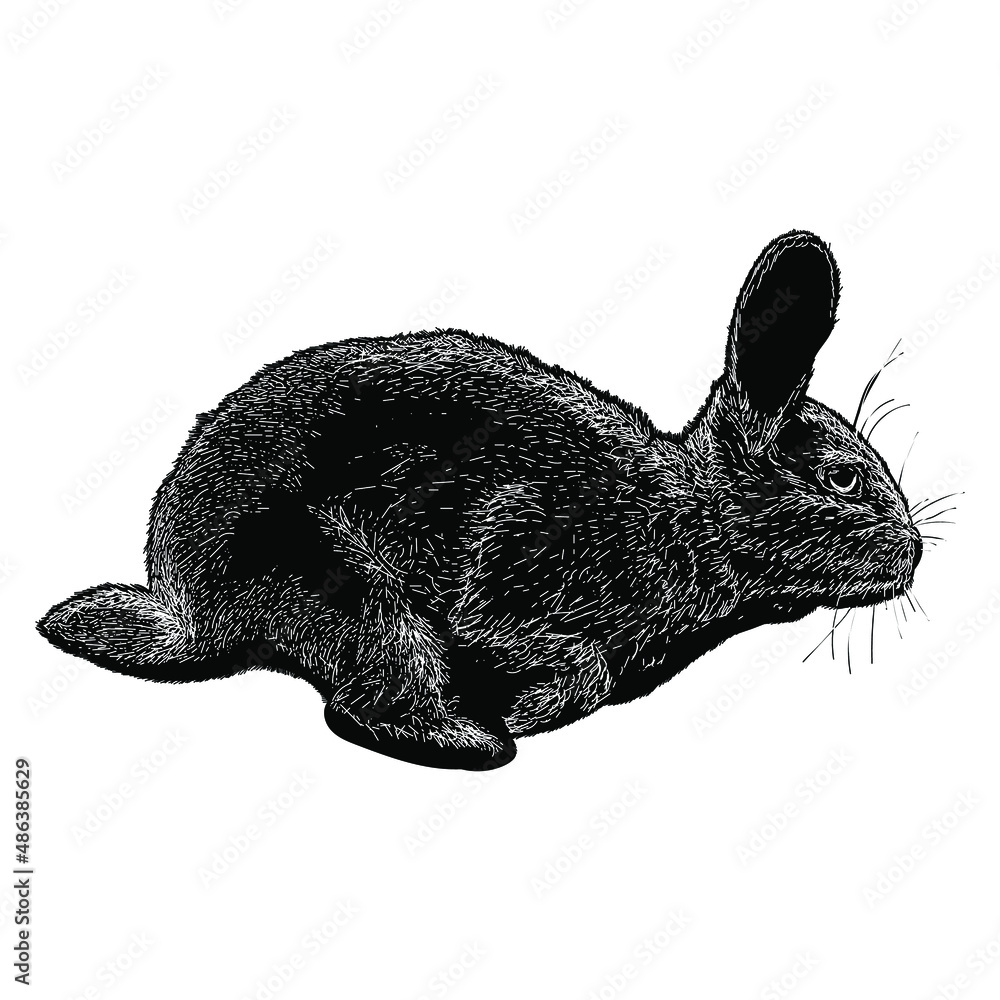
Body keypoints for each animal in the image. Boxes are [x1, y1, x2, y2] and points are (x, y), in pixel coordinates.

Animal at [38, 231, 922, 770]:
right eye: (843, 478)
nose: (915, 553)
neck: (684, 512)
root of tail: (188, 610)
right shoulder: (511, 557)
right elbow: (569, 657)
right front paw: (531, 712)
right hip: (350, 589)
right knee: (364, 699)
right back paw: (478, 740)